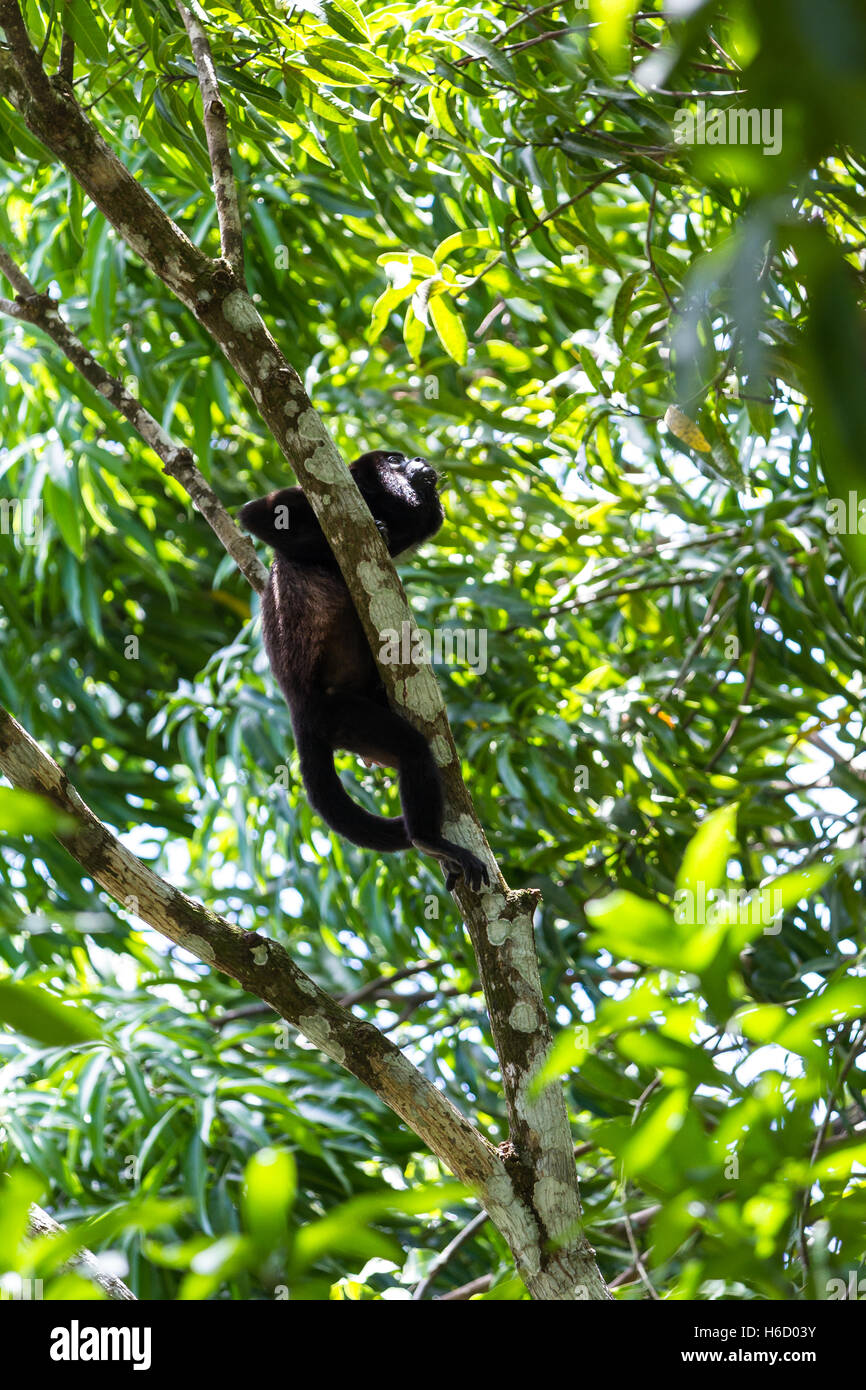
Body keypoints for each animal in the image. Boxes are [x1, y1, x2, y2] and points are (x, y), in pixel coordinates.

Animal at [239, 450, 489, 892]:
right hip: (339, 715)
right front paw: (380, 532)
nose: (418, 458)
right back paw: (428, 841)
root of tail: (297, 709)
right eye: (395, 459)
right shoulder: (306, 498)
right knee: (412, 749)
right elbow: (256, 515)